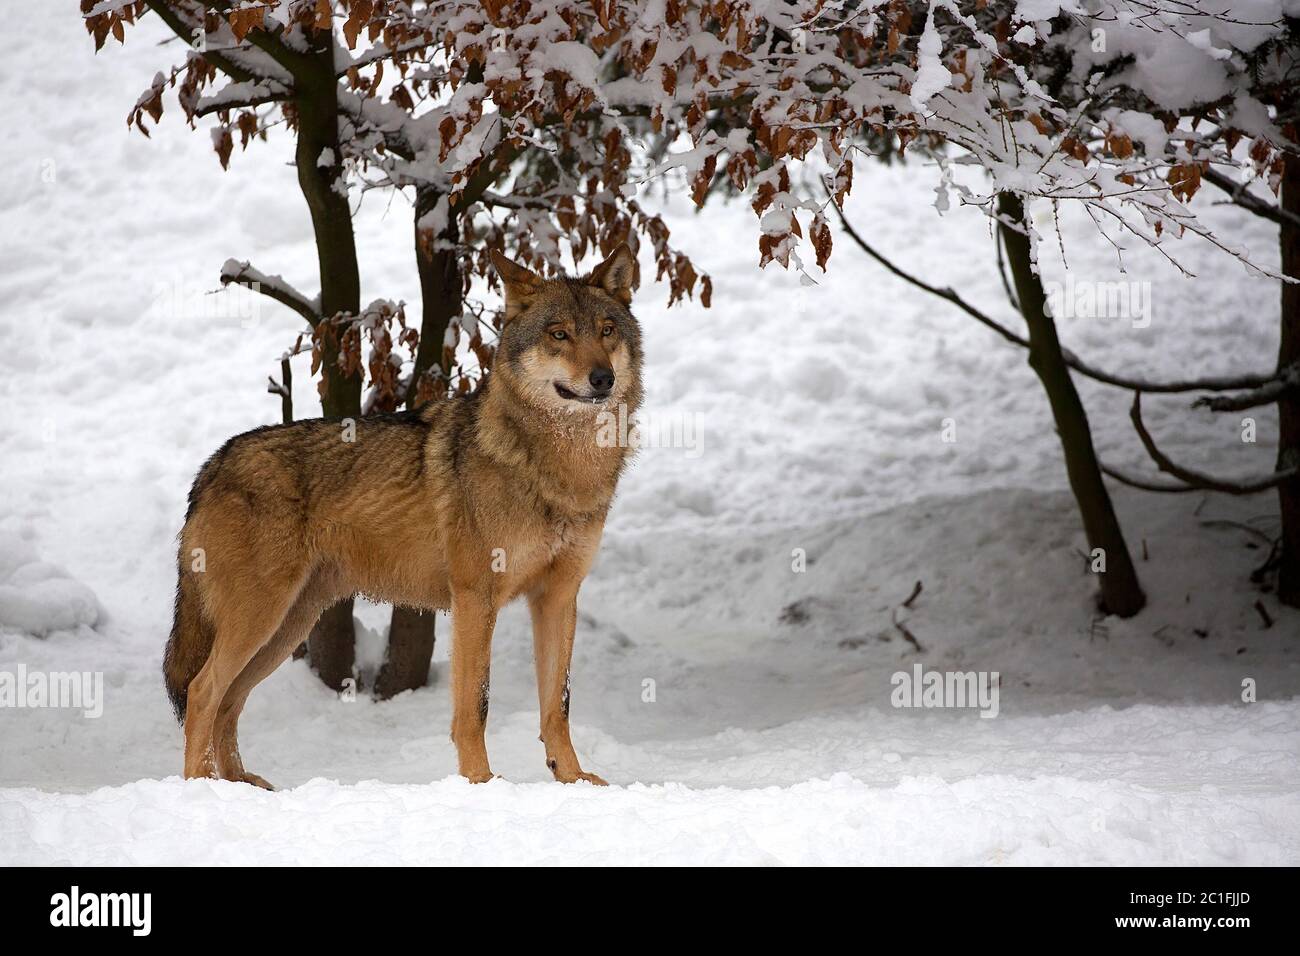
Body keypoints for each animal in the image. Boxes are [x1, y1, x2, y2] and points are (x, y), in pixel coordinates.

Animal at [164, 245, 641, 788]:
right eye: (559, 334)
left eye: (606, 330)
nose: (602, 379)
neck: (558, 470)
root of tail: (211, 465)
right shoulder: (476, 598)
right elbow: (474, 705)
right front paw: (480, 782)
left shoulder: (558, 598)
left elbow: (557, 704)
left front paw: (573, 780)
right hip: (261, 620)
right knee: (202, 693)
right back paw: (202, 787)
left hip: (286, 627)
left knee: (229, 701)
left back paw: (240, 785)